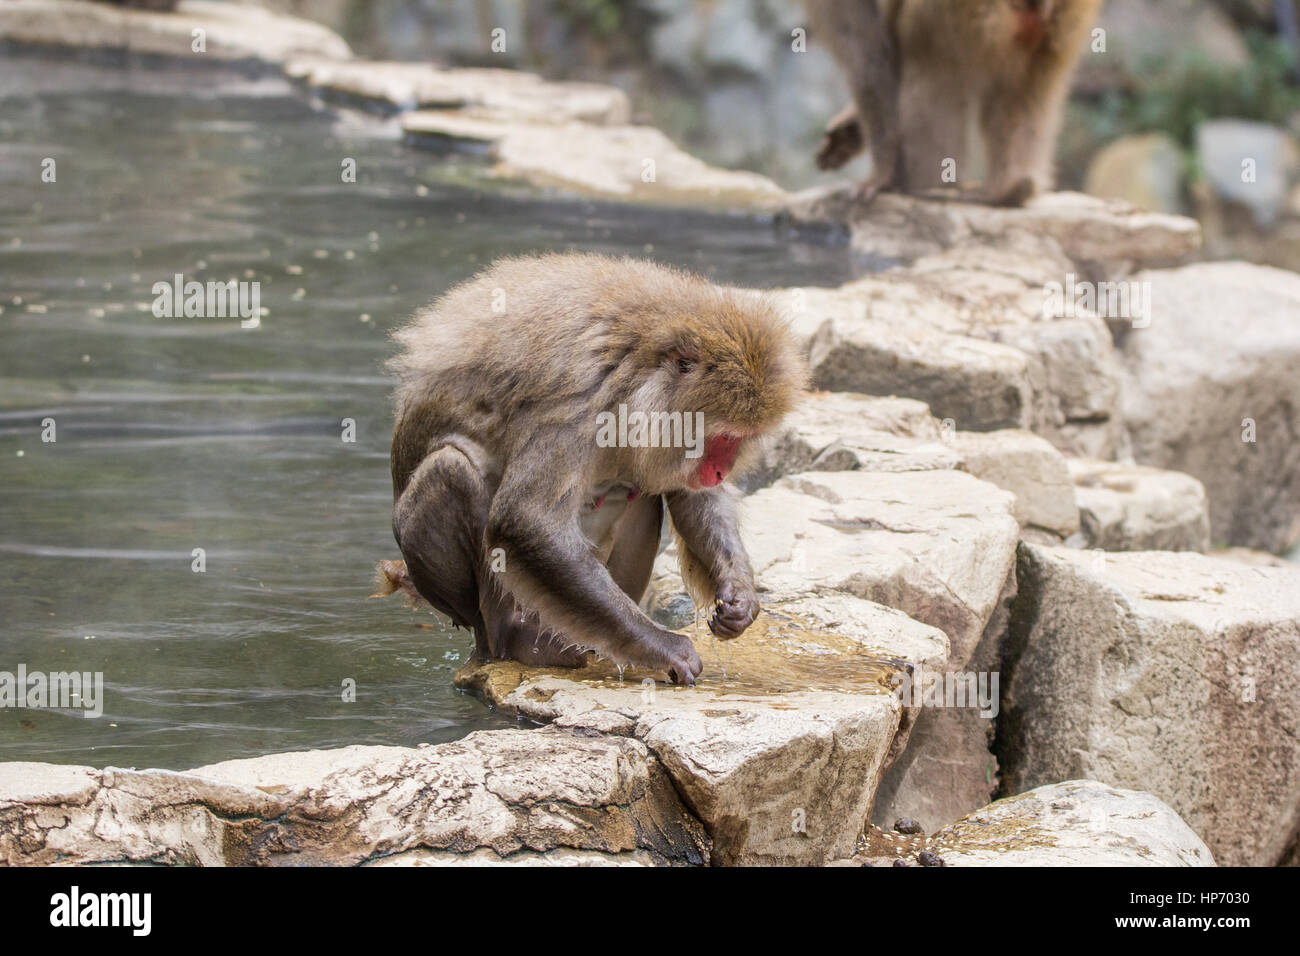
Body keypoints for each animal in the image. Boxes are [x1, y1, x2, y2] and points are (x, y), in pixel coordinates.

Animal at [385, 254, 806, 684]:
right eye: (723, 437)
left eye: (740, 440)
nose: (721, 472)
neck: (637, 374)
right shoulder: (579, 403)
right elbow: (526, 523)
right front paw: (666, 647)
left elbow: (690, 494)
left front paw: (739, 596)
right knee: (451, 467)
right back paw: (516, 641)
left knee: (641, 494)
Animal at [805, 0, 1102, 206]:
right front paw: (849, 133)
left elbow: (867, 54)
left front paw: (881, 177)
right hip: (1063, 18)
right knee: (1028, 89)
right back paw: (1009, 188)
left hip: (962, 11)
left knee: (927, 61)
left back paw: (926, 185)